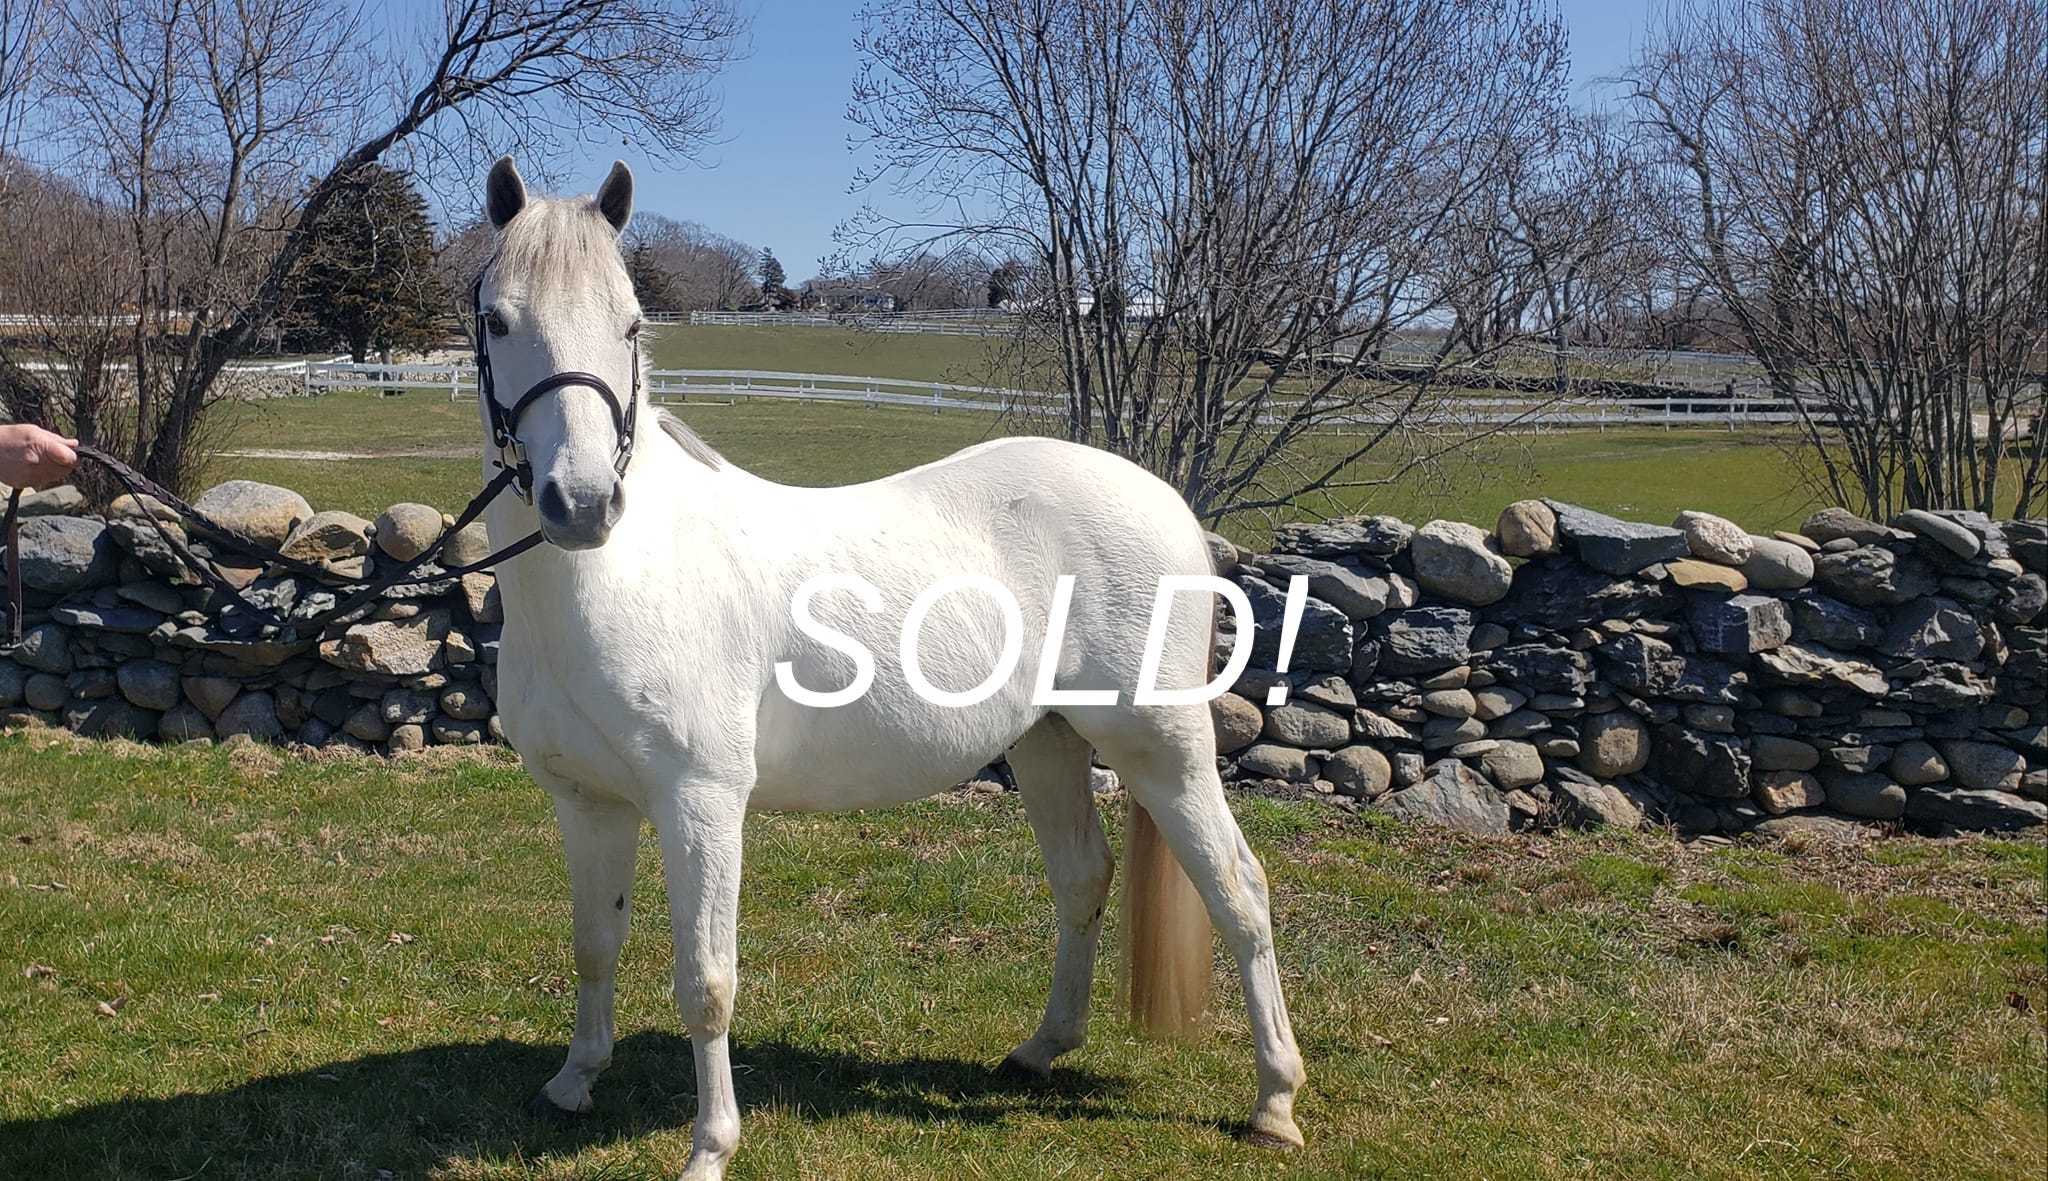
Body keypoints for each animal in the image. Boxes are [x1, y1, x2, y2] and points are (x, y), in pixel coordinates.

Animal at [472, 156, 1305, 1180]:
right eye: (497, 319)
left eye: (631, 322)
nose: (583, 504)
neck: (624, 577)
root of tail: (1167, 503)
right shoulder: (588, 803)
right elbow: (595, 944)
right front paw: (572, 1082)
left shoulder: (700, 802)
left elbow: (706, 980)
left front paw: (711, 1146)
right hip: (1048, 743)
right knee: (1082, 878)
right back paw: (1038, 1051)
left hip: (1162, 749)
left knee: (1238, 890)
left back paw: (1274, 1101)